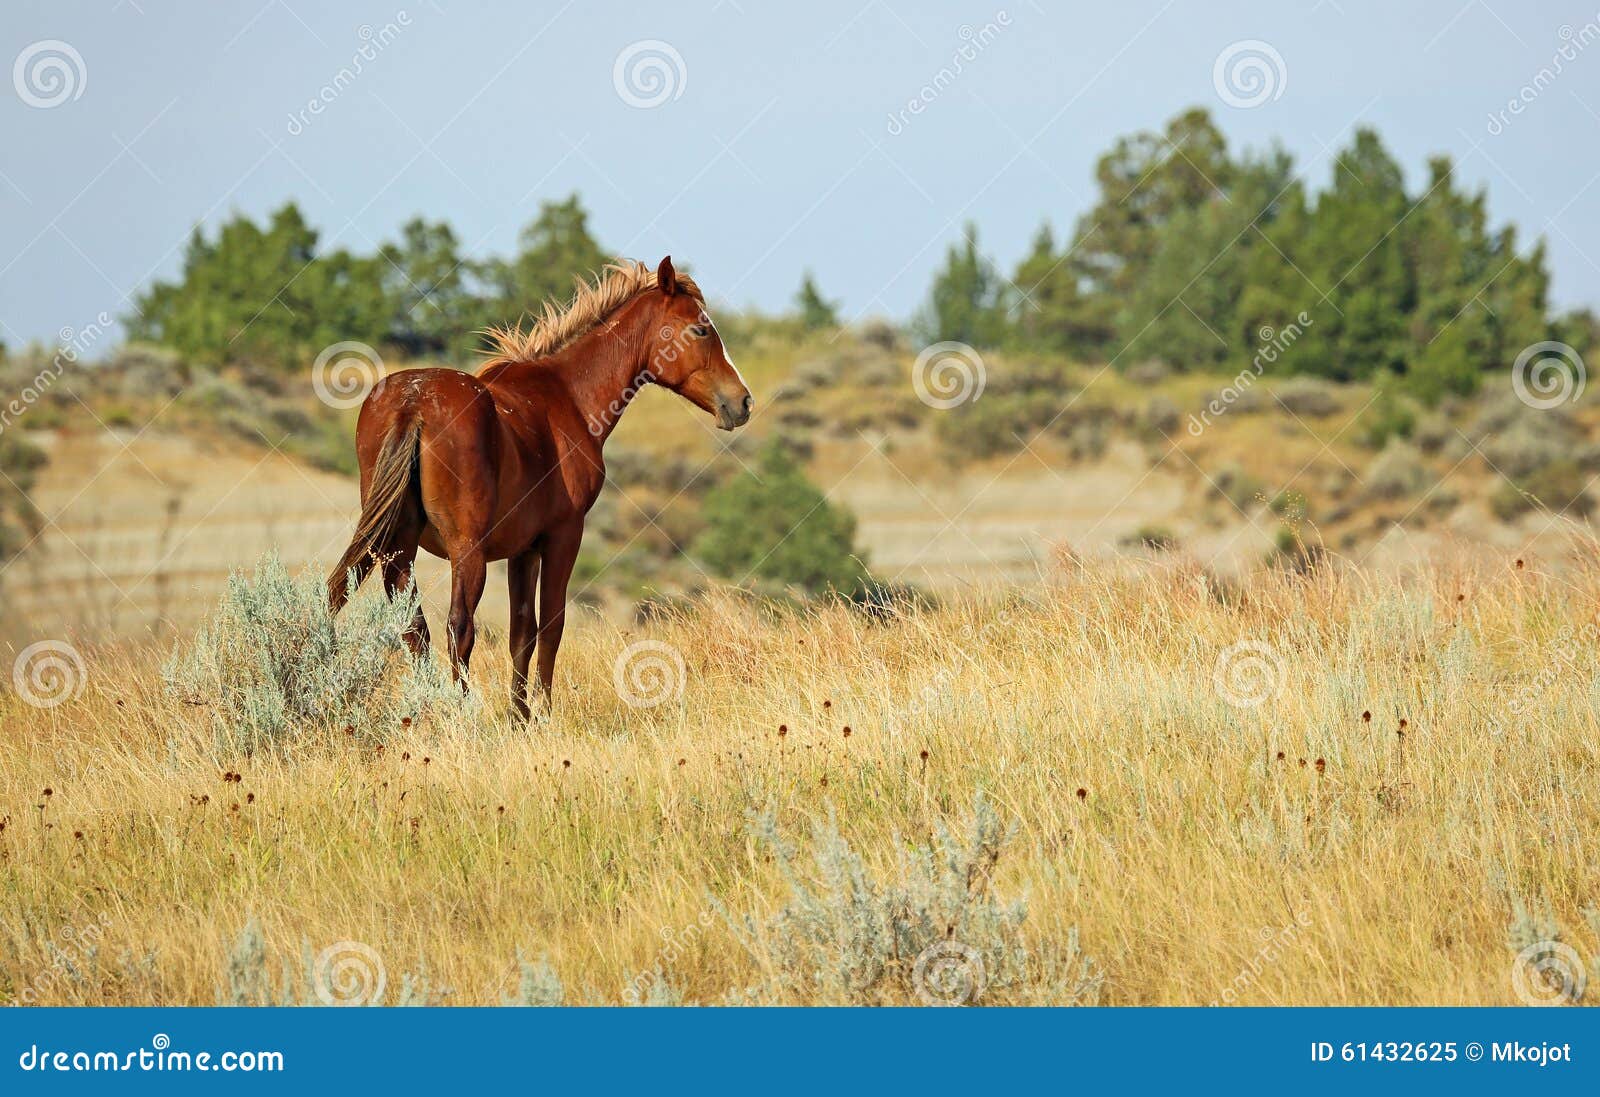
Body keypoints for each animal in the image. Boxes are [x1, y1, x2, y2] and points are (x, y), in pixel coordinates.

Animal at [327, 256, 752, 718]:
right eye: (701, 329)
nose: (742, 402)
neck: (568, 396)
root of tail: (413, 402)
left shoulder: (523, 549)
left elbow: (521, 630)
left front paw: (520, 713)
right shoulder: (563, 535)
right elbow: (551, 622)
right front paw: (543, 713)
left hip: (397, 550)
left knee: (404, 622)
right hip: (465, 552)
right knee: (458, 626)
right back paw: (460, 711)